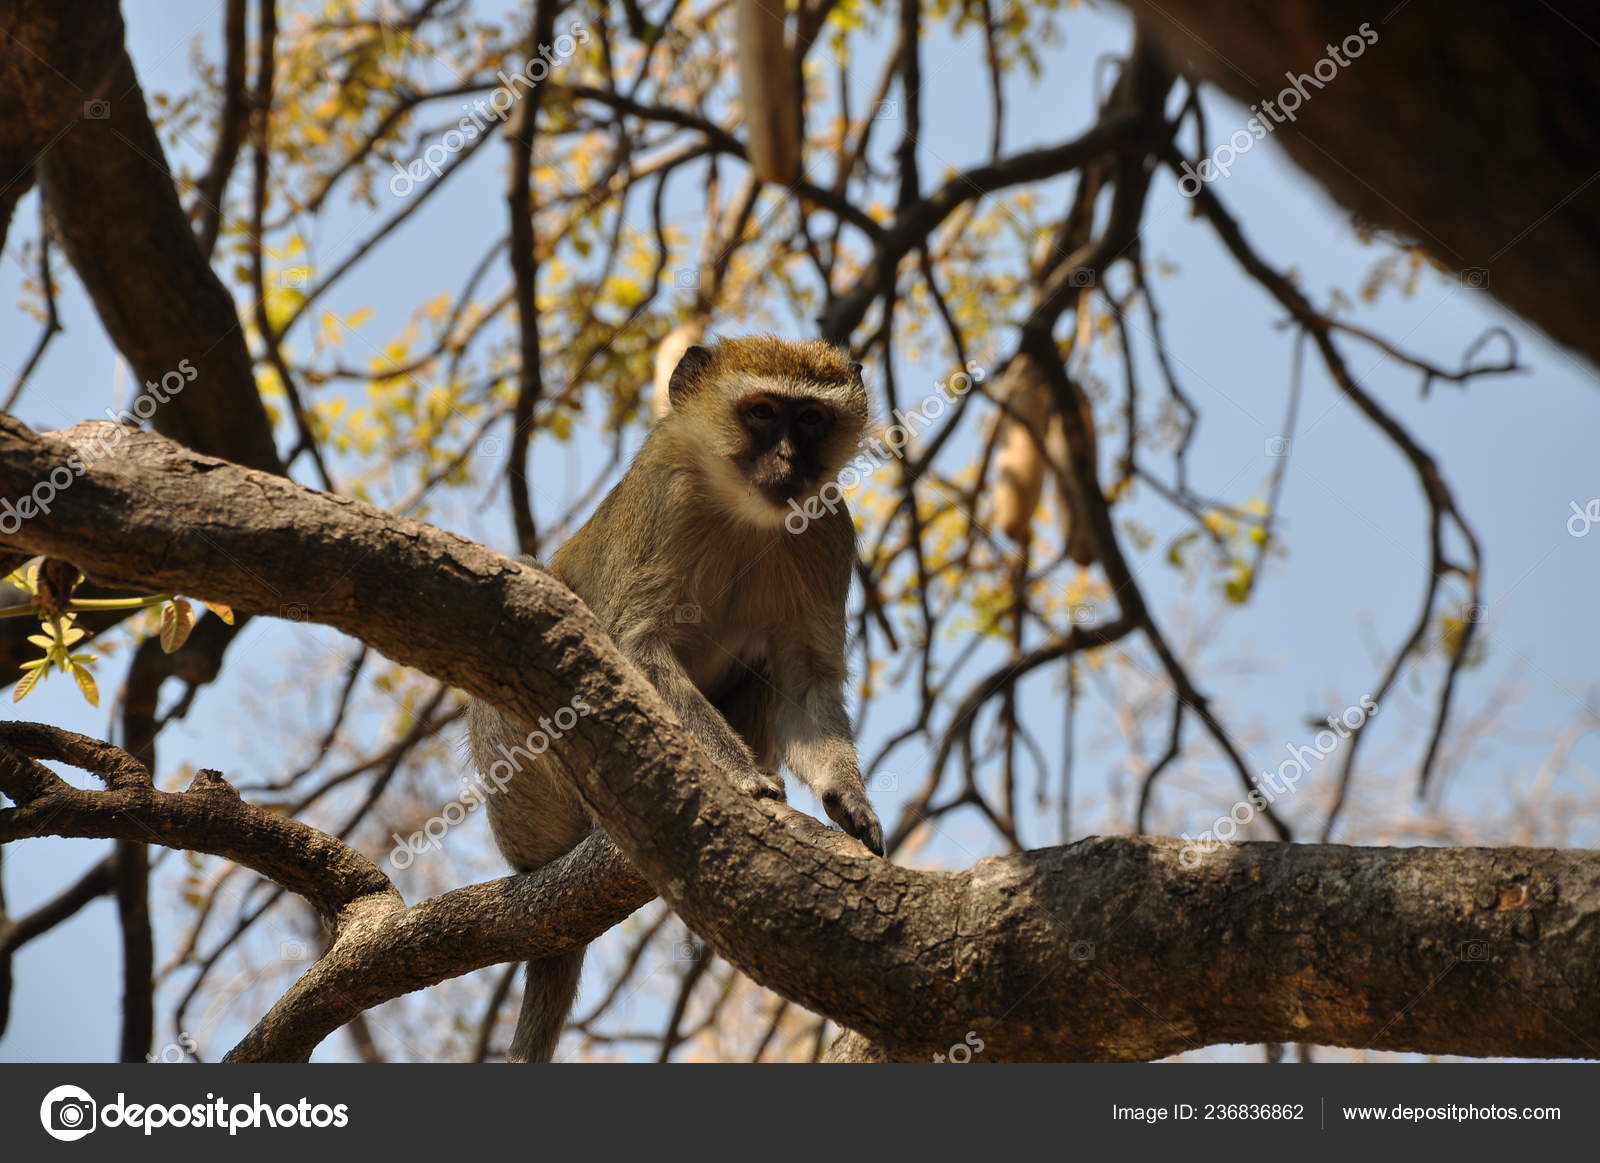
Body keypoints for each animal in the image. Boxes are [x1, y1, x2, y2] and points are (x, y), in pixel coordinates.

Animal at [467, 335, 885, 1062]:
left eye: (810, 420)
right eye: (763, 412)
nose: (787, 462)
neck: (743, 513)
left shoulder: (828, 527)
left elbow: (805, 676)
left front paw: (848, 796)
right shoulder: (666, 496)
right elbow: (634, 644)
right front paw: (743, 778)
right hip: (530, 798)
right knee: (533, 593)